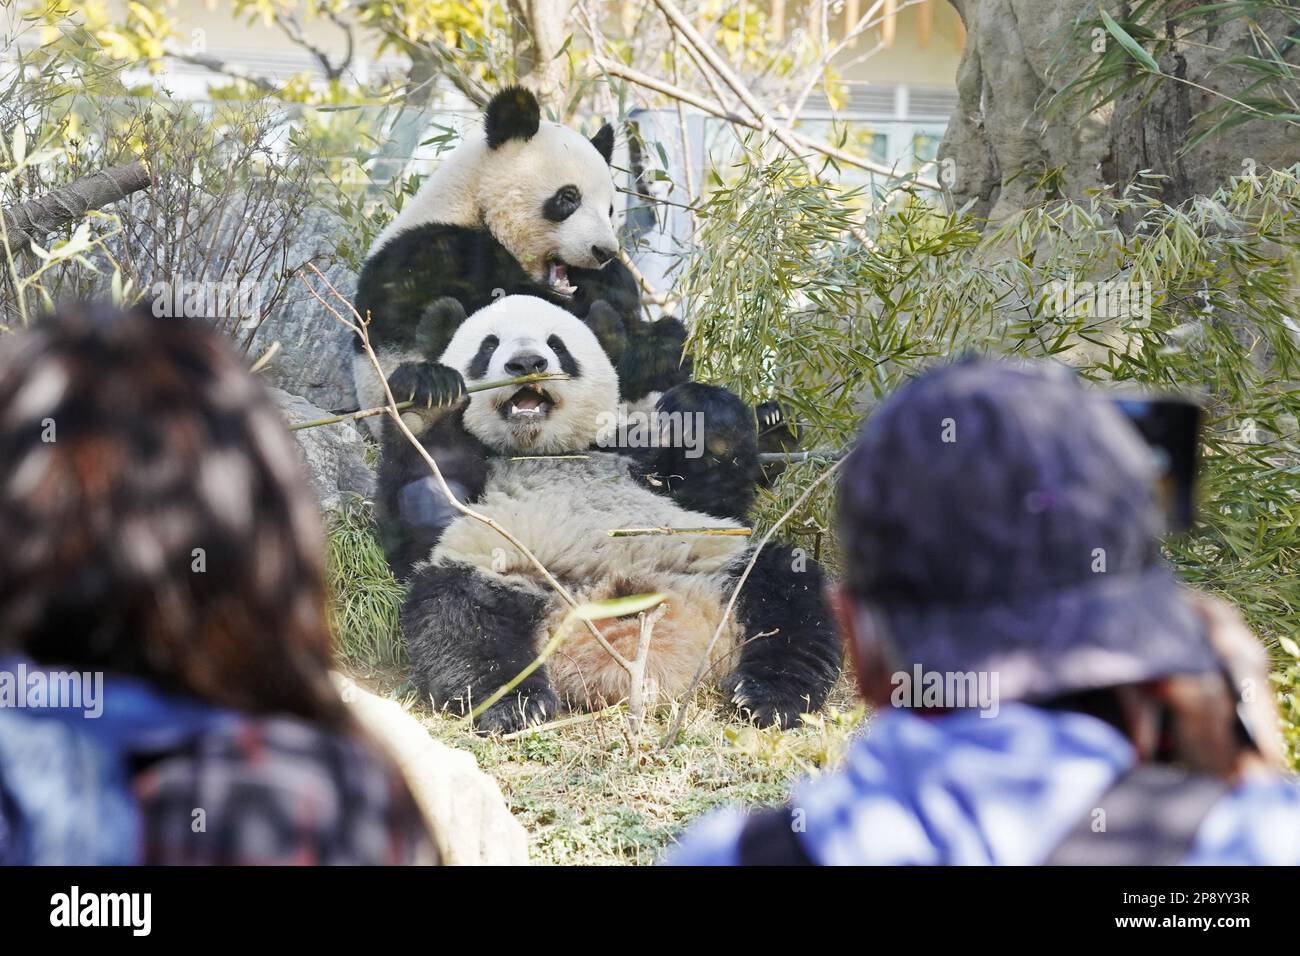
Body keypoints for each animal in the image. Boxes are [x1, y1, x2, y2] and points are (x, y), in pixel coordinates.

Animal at [380, 295, 842, 734]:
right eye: (489, 345)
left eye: (556, 345)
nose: (527, 364)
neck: (545, 450)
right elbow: (418, 510)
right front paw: (426, 399)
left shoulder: (633, 457)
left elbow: (713, 496)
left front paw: (711, 420)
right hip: (501, 572)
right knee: (461, 618)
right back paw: (514, 705)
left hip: (719, 569)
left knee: (787, 592)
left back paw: (771, 697)